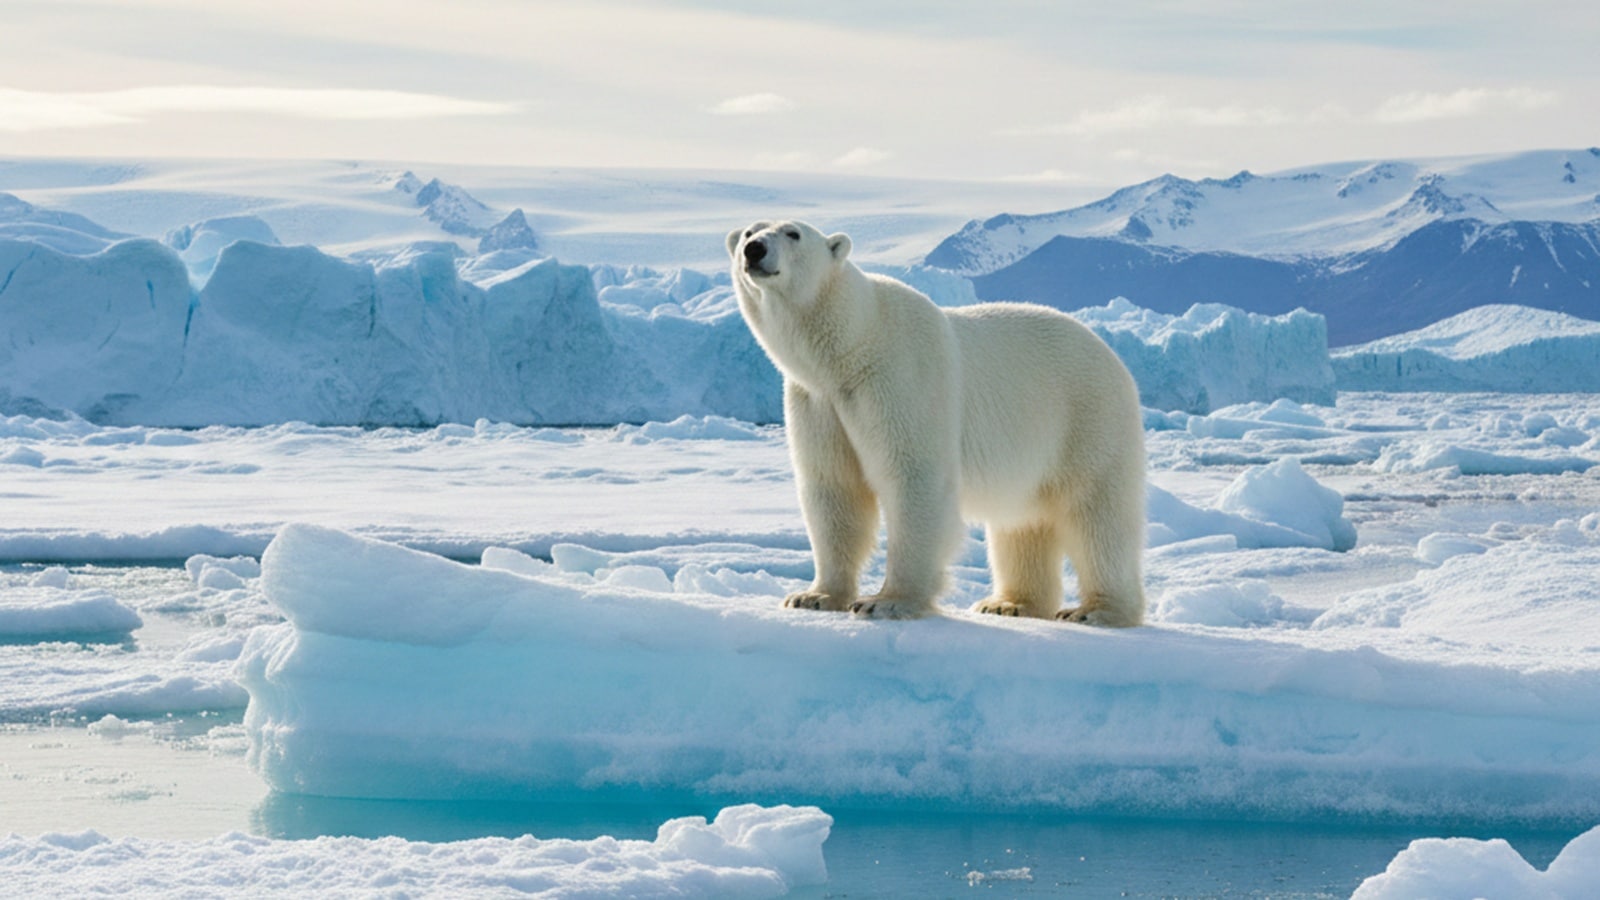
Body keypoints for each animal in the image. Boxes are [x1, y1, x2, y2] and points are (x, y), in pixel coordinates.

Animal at [728, 219, 1147, 625]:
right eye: (749, 231)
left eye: (793, 233)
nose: (754, 249)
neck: (851, 347)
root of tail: (1113, 357)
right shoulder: (818, 401)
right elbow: (833, 488)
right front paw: (813, 597)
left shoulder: (900, 377)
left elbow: (912, 476)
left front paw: (887, 602)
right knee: (1022, 519)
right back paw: (1008, 604)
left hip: (1087, 418)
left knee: (1098, 515)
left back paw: (1096, 610)